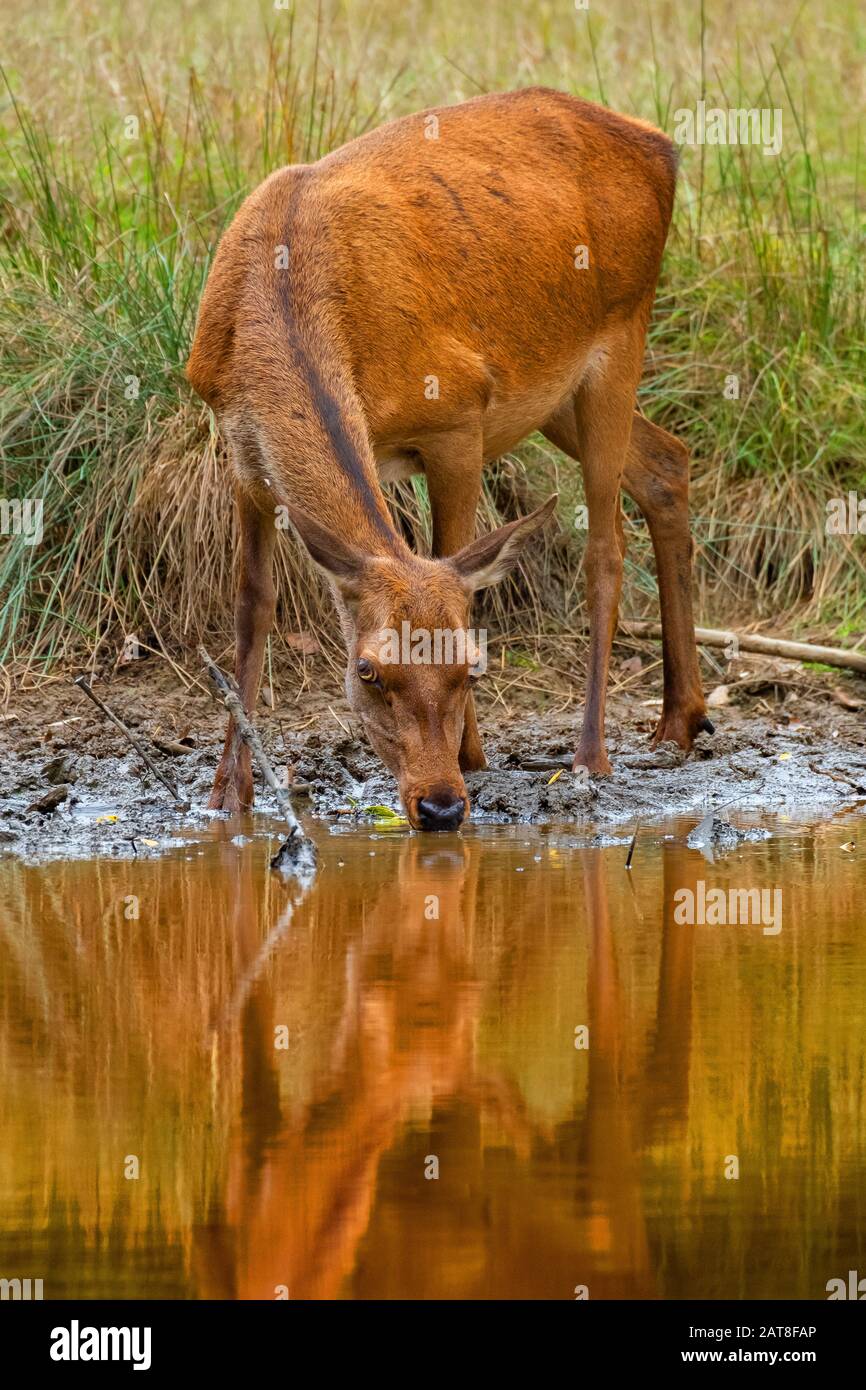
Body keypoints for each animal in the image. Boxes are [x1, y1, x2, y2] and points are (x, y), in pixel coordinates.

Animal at [186, 86, 711, 833]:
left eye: (469, 669)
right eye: (368, 670)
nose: (439, 806)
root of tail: (662, 144)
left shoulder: (458, 412)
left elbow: (458, 562)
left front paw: (474, 755)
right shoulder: (242, 459)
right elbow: (252, 608)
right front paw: (227, 796)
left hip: (621, 332)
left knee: (606, 546)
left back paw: (591, 754)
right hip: (557, 394)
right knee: (668, 461)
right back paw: (682, 719)